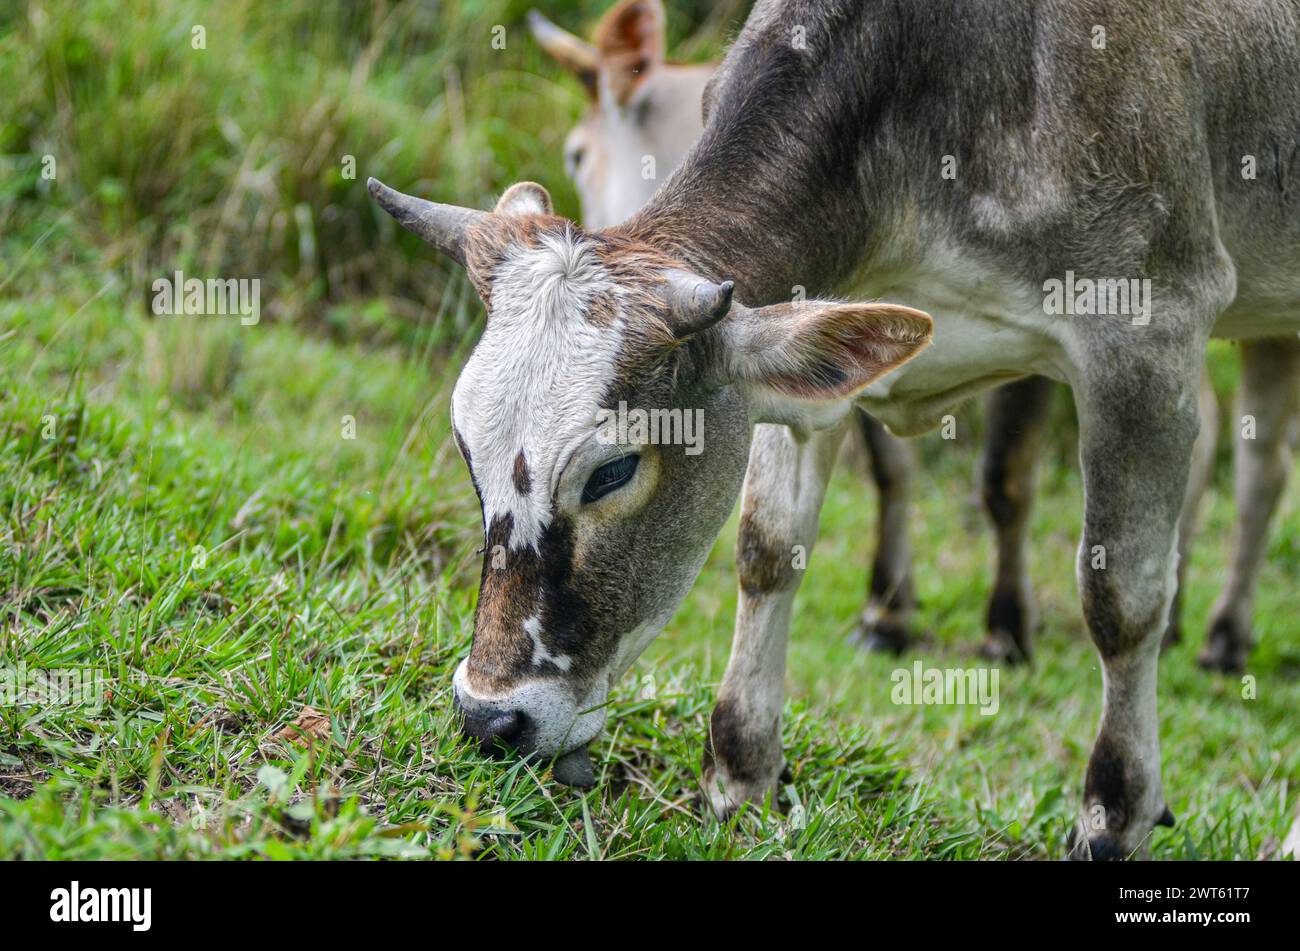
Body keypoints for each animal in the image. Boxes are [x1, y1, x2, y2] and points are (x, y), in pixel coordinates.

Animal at [371, 0, 1300, 858]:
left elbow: (1121, 597)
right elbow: (766, 543)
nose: (490, 719)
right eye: (468, 451)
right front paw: (741, 772)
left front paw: (1115, 811)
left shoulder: (1147, 330)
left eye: (613, 470)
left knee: (1255, 471)